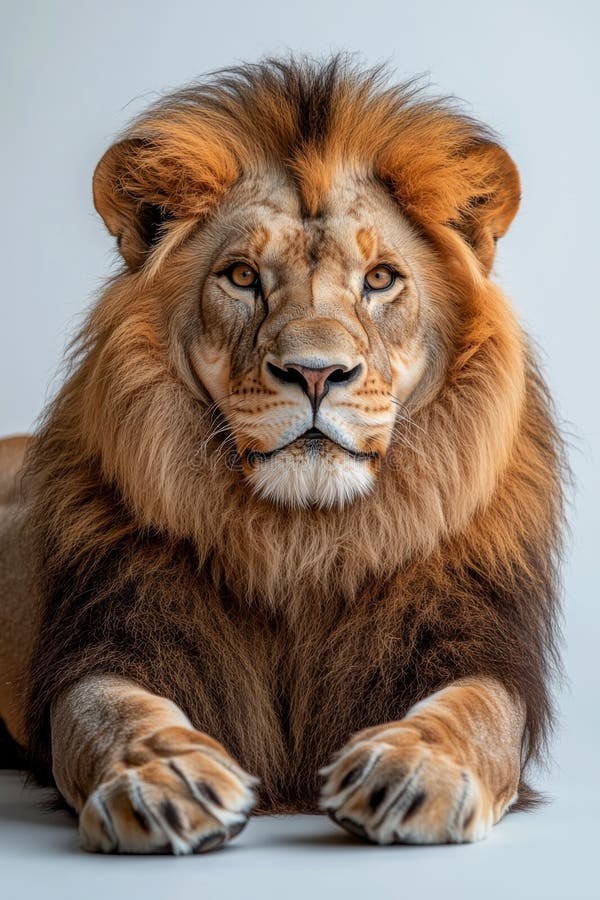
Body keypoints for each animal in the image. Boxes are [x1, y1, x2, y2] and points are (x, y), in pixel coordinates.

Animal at [0, 57, 564, 853]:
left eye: (380, 278)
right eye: (242, 276)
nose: (316, 373)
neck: (300, 543)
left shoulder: (471, 645)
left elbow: (475, 713)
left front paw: (412, 769)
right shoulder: (110, 639)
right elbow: (108, 713)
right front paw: (165, 777)